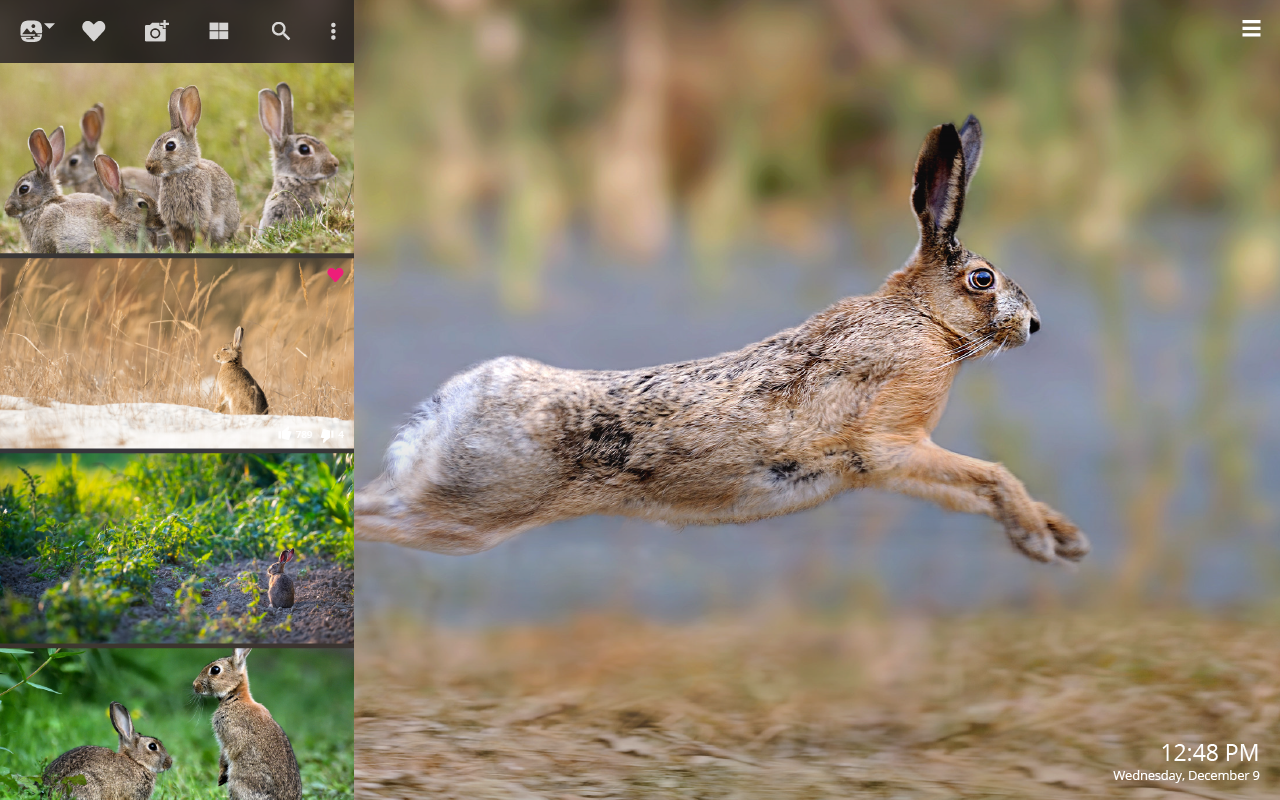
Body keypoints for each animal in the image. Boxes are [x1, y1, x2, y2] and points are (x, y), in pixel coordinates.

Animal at [144, 86, 240, 252]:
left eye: (170, 146)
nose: (148, 166)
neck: (181, 172)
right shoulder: (176, 224)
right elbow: (180, 241)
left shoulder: (201, 216)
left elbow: (202, 236)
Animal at [192, 649, 302, 800]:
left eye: (215, 670)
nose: (194, 685)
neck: (236, 696)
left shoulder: (230, 738)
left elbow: (226, 754)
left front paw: (220, 777)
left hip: (238, 783)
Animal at [355, 115, 1091, 565]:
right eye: (982, 279)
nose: (1033, 325)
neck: (921, 320)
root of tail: (453, 404)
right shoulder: (891, 446)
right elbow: (990, 474)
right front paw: (1040, 542)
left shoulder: (901, 463)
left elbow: (977, 488)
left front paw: (1064, 539)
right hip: (466, 513)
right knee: (373, 511)